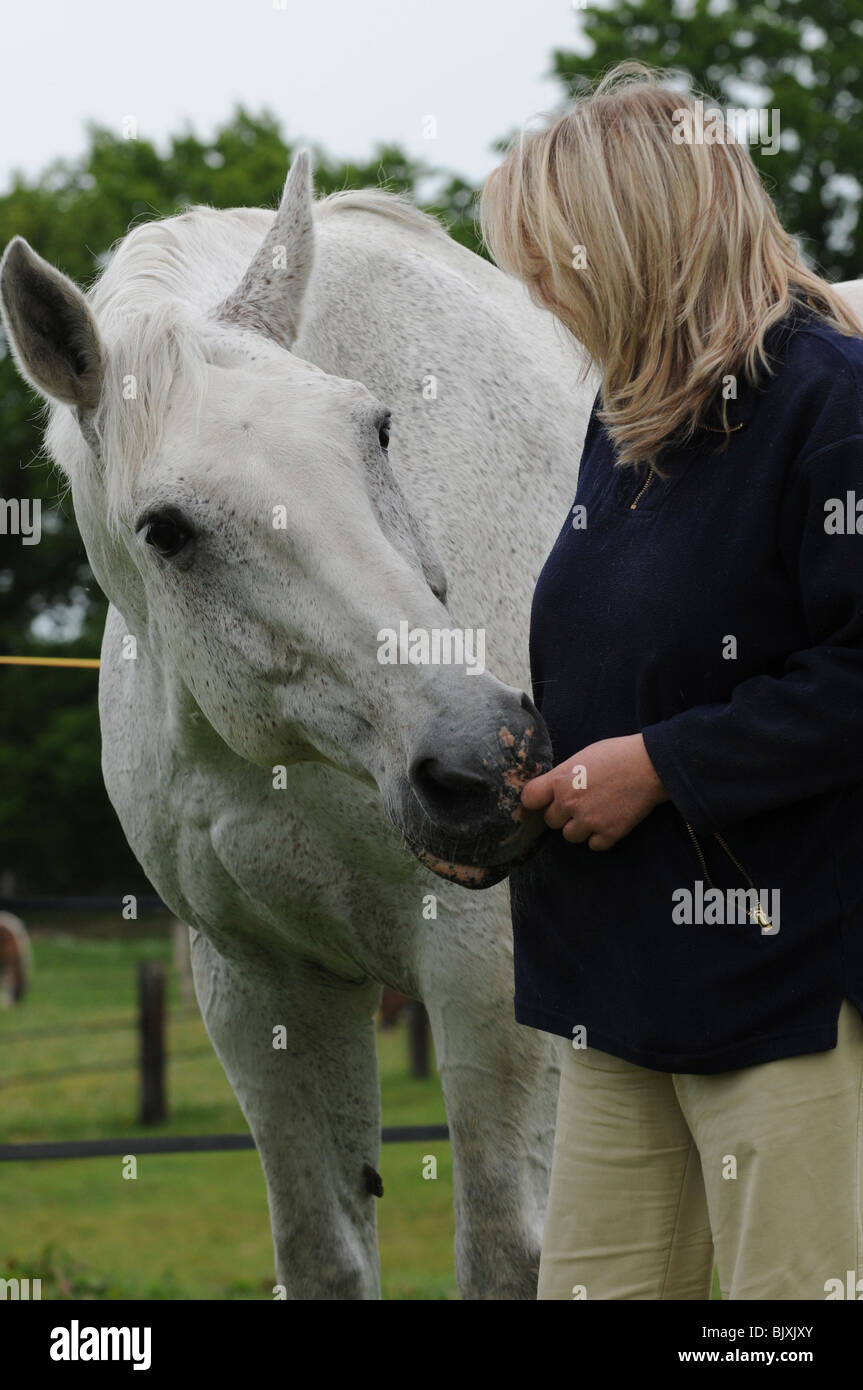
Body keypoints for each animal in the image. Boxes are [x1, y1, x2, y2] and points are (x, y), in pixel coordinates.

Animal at [0, 152, 593, 1299]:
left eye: (377, 429)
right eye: (166, 531)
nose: (484, 763)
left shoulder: (489, 990)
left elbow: (506, 1250)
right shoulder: (264, 992)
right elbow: (321, 1254)